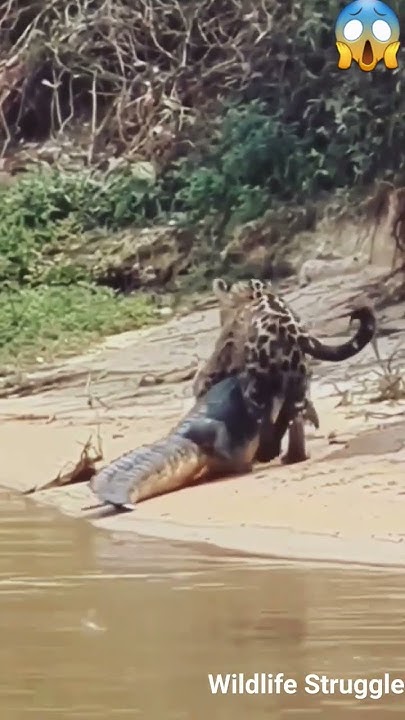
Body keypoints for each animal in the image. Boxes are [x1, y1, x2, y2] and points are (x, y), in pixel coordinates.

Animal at [193, 277, 377, 465]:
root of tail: (290, 327)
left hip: (256, 389)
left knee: (264, 423)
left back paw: (264, 454)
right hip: (298, 386)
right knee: (292, 420)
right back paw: (290, 455)